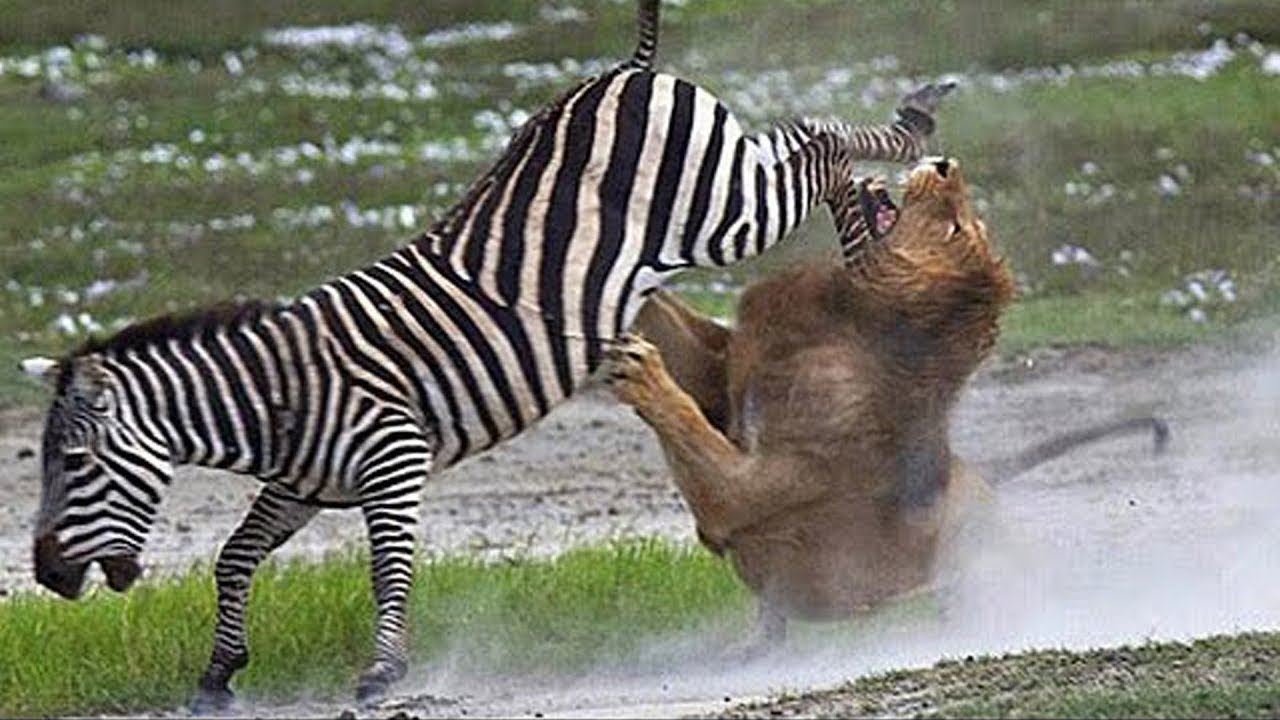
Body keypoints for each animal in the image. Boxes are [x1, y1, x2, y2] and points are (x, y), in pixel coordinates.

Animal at [21, 0, 952, 708]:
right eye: (48, 464)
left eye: (73, 462)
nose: (47, 578)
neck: (278, 395)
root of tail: (621, 72)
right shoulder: (300, 486)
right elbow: (234, 557)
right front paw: (220, 672)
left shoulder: (393, 457)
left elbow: (387, 568)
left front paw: (382, 672)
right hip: (724, 189)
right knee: (807, 141)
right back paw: (875, 213)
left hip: (724, 206)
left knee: (819, 144)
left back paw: (894, 172)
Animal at [606, 158, 1167, 648]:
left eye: (956, 229)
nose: (946, 164)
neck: (846, 317)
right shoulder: (719, 371)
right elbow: (659, 306)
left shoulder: (752, 491)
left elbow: (691, 429)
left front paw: (640, 368)